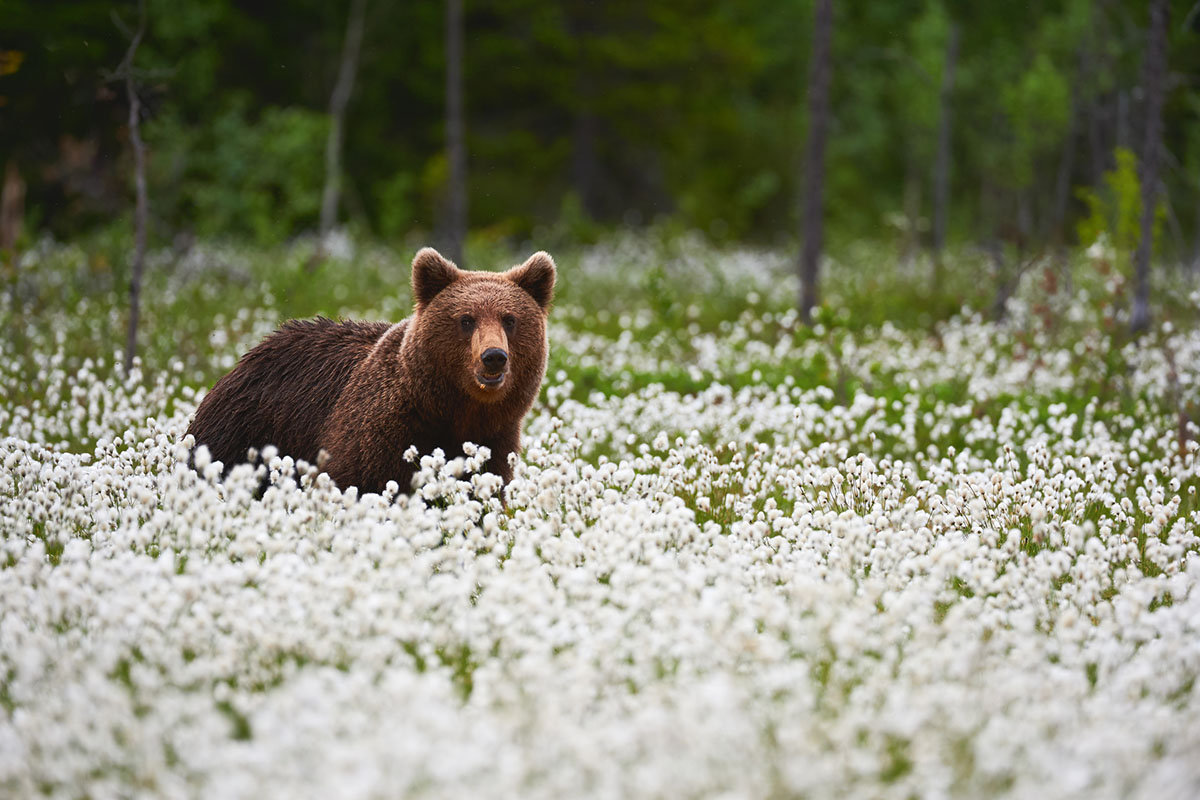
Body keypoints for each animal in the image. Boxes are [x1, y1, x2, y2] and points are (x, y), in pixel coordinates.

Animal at [186, 247, 555, 495]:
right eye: (466, 320)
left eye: (510, 319)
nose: (493, 357)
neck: (453, 410)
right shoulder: (382, 434)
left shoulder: (493, 441)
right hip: (246, 430)